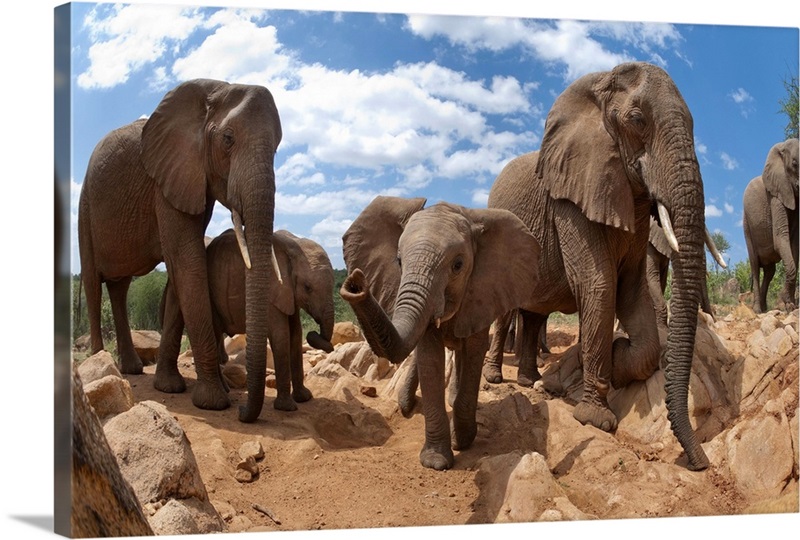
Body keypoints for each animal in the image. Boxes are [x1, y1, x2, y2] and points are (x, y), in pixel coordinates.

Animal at [78, 79, 282, 411]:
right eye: (228, 139)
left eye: (277, 146)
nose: (243, 410)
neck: (215, 89)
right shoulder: (164, 181)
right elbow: (186, 261)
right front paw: (214, 401)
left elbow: (179, 270)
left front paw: (171, 388)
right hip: (85, 208)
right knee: (94, 282)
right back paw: (99, 362)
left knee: (120, 288)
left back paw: (131, 369)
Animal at [159, 229, 335, 420]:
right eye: (308, 287)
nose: (315, 334)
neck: (294, 244)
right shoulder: (274, 289)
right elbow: (281, 336)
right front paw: (287, 408)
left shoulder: (289, 294)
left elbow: (295, 335)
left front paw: (304, 398)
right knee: (213, 332)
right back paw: (224, 391)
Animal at [339, 196, 541, 470]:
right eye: (399, 262)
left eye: (458, 265)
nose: (355, 283)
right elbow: (429, 357)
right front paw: (436, 461)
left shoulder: (484, 292)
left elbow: (474, 351)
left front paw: (463, 440)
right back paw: (409, 403)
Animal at [481, 62, 715, 471]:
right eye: (637, 120)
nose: (700, 464)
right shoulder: (569, 200)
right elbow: (599, 286)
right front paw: (595, 418)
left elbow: (632, 290)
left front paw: (619, 354)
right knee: (509, 311)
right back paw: (497, 379)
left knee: (534, 314)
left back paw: (529, 381)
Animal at [742, 138, 799, 313]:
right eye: (794, 163)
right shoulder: (776, 193)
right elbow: (781, 237)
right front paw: (786, 303)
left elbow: (795, 246)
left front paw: (790, 305)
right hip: (746, 225)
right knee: (755, 266)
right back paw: (757, 310)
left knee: (769, 271)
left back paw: (765, 308)